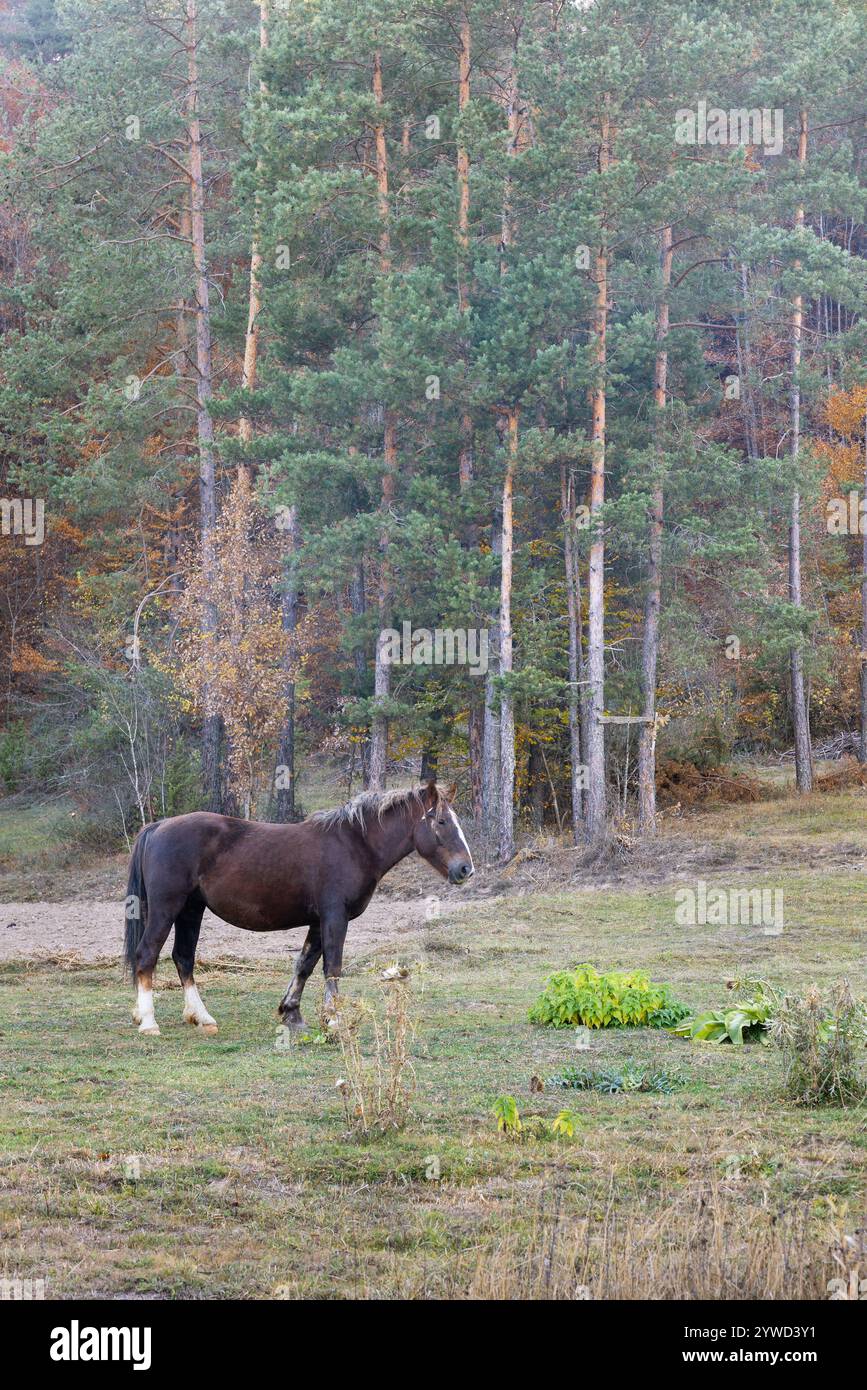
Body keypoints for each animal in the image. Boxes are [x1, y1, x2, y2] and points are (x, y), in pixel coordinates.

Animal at [123, 781, 474, 1036]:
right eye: (441, 821)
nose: (465, 869)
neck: (354, 844)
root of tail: (158, 827)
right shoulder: (335, 917)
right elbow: (332, 967)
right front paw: (334, 1021)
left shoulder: (319, 921)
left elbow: (304, 965)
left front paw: (291, 1013)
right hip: (167, 908)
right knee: (147, 954)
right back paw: (149, 1022)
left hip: (191, 910)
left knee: (183, 958)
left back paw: (202, 1017)